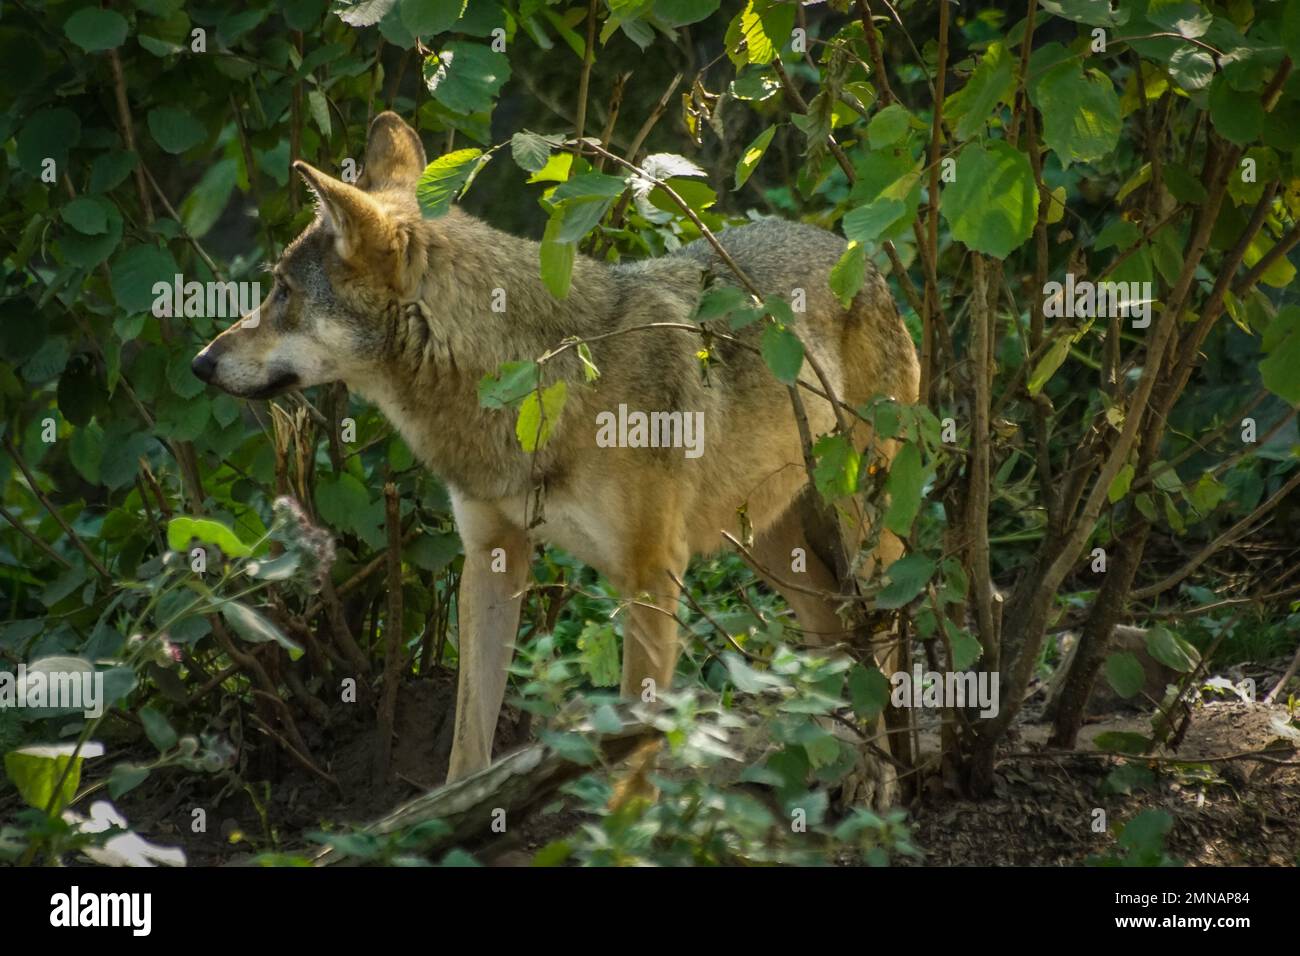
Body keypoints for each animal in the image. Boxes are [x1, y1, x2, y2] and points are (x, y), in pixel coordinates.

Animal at [193, 112, 920, 801]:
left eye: (282, 292)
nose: (200, 363)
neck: (525, 382)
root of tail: (855, 251)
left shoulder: (651, 579)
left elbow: (636, 750)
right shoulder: (492, 558)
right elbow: (469, 737)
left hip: (861, 536)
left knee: (877, 644)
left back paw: (876, 778)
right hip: (770, 544)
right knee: (833, 638)